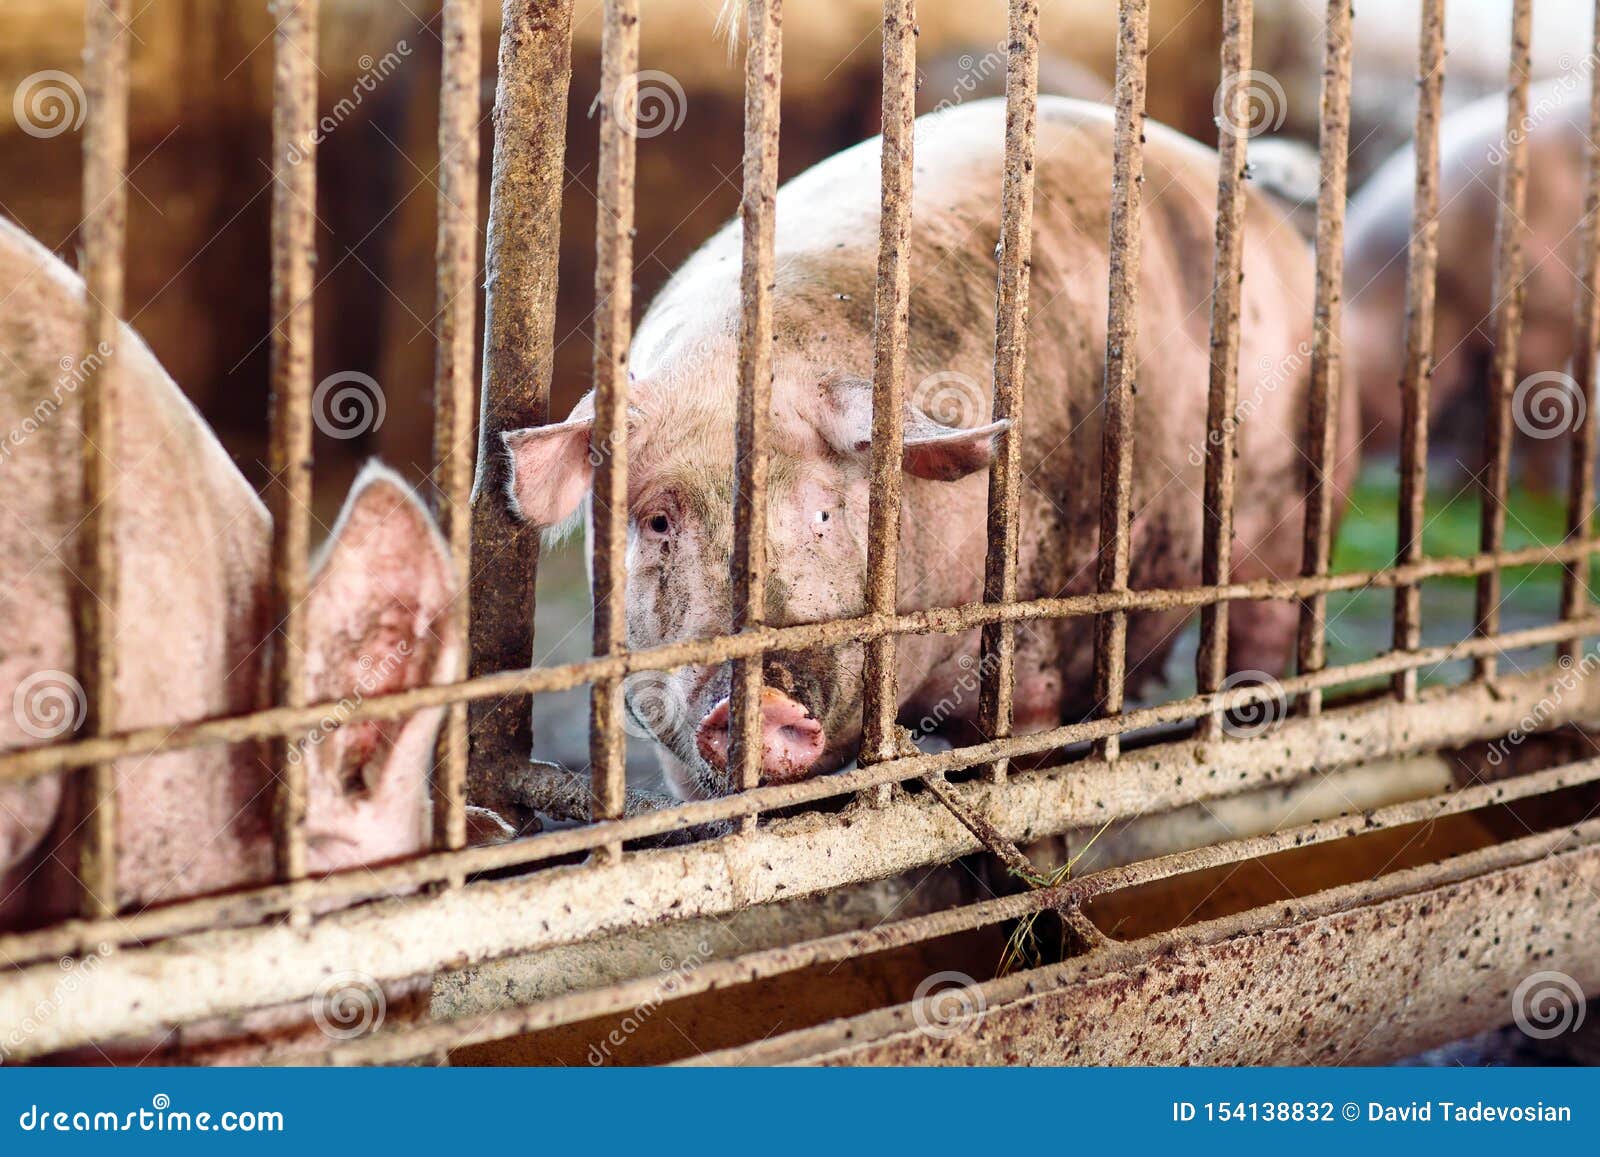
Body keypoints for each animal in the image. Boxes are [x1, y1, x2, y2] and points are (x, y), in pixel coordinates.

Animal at [504, 96, 1358, 802]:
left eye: (825, 513)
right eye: (658, 522)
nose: (759, 699)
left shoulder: (1024, 618)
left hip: (1292, 500)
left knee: (1263, 620)